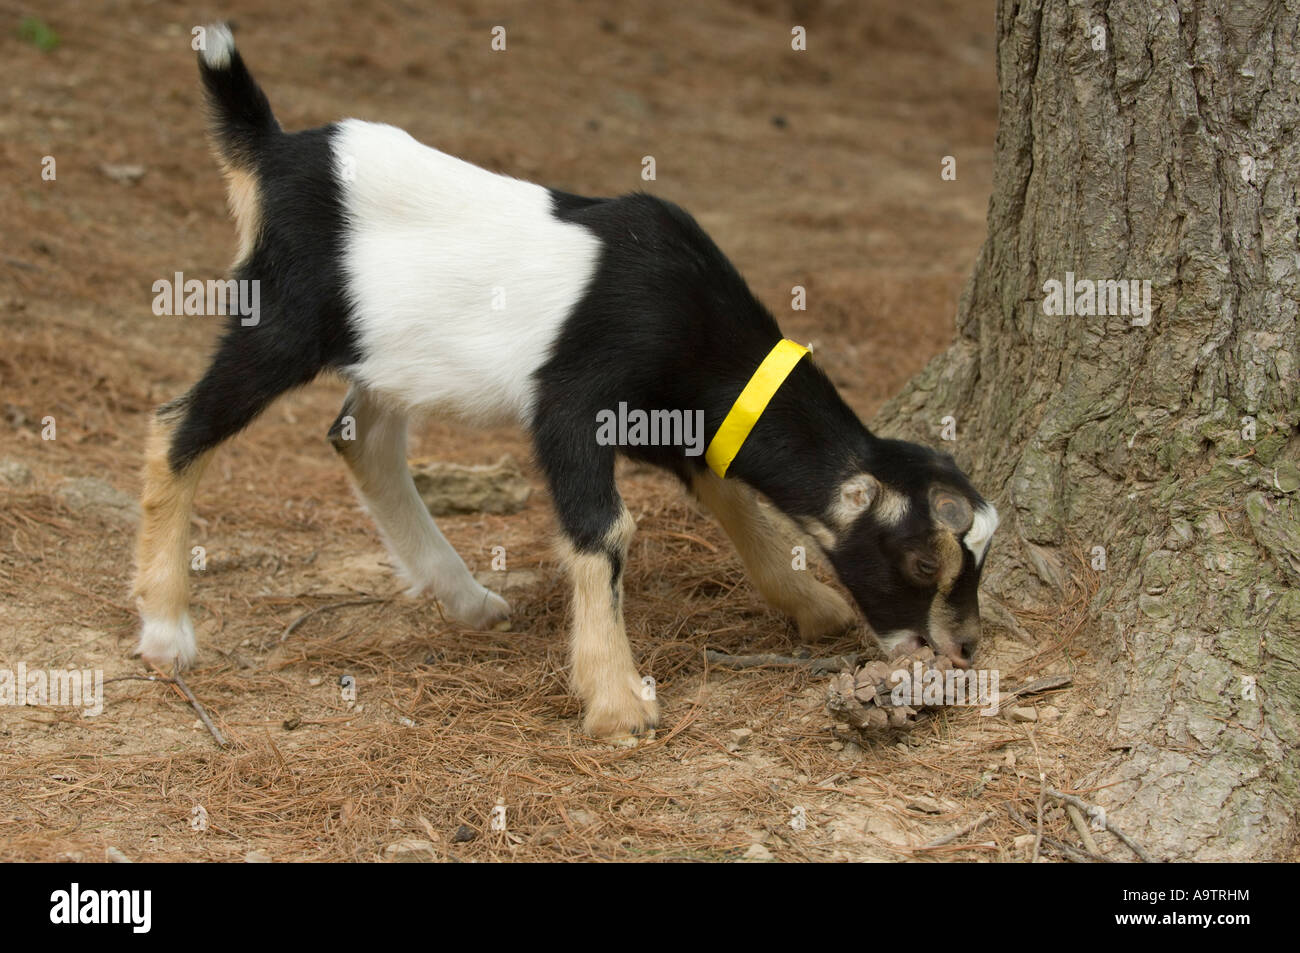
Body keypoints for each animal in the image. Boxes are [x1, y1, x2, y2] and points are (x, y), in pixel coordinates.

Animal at [132, 25, 999, 741]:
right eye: (924, 564)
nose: (960, 648)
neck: (690, 314)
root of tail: (272, 151)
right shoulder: (575, 403)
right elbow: (603, 528)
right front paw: (618, 704)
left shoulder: (674, 418)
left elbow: (727, 490)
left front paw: (809, 606)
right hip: (281, 321)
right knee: (178, 424)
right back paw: (168, 631)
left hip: (389, 352)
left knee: (359, 438)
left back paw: (466, 598)